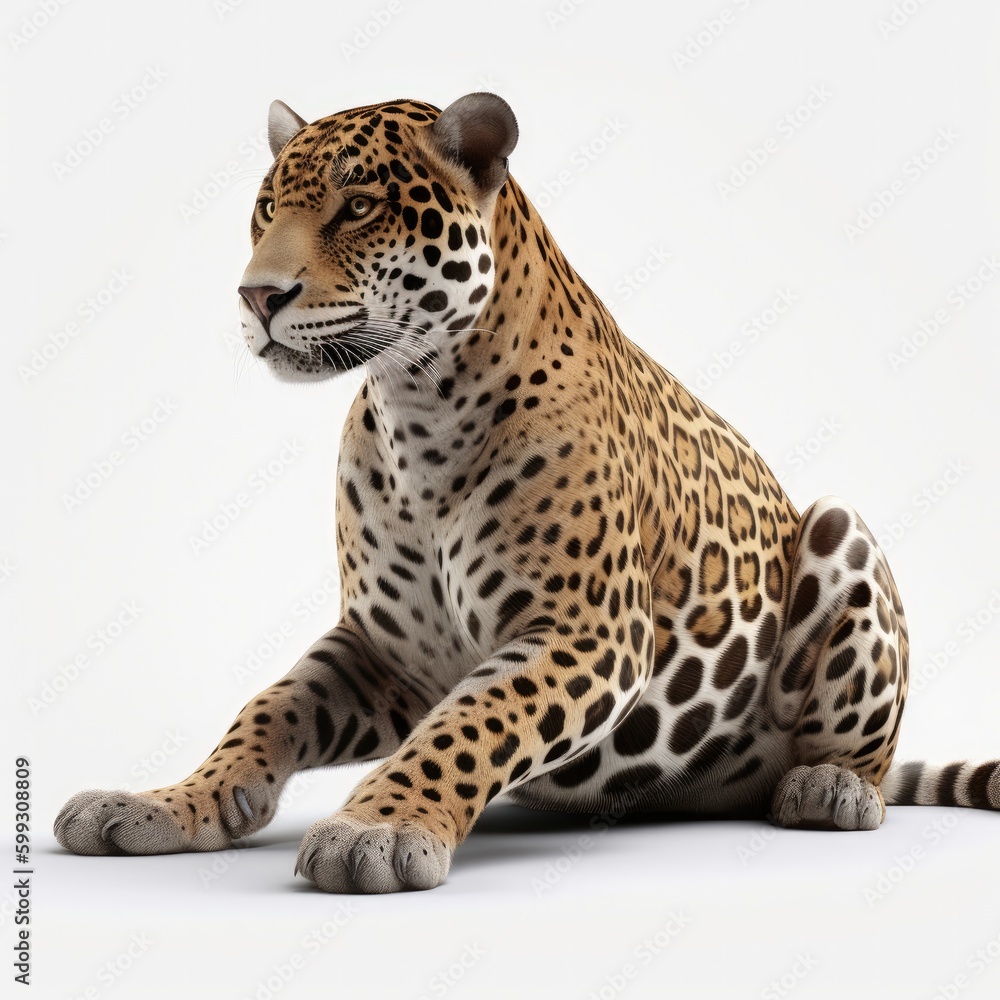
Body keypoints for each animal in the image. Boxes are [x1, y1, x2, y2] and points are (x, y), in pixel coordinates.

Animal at [55, 93, 1000, 893]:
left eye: (357, 208)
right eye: (264, 209)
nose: (257, 295)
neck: (416, 409)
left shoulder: (586, 631)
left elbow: (471, 724)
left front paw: (380, 829)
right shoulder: (383, 651)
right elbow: (264, 711)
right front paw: (166, 803)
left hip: (843, 531)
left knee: (858, 750)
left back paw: (830, 788)